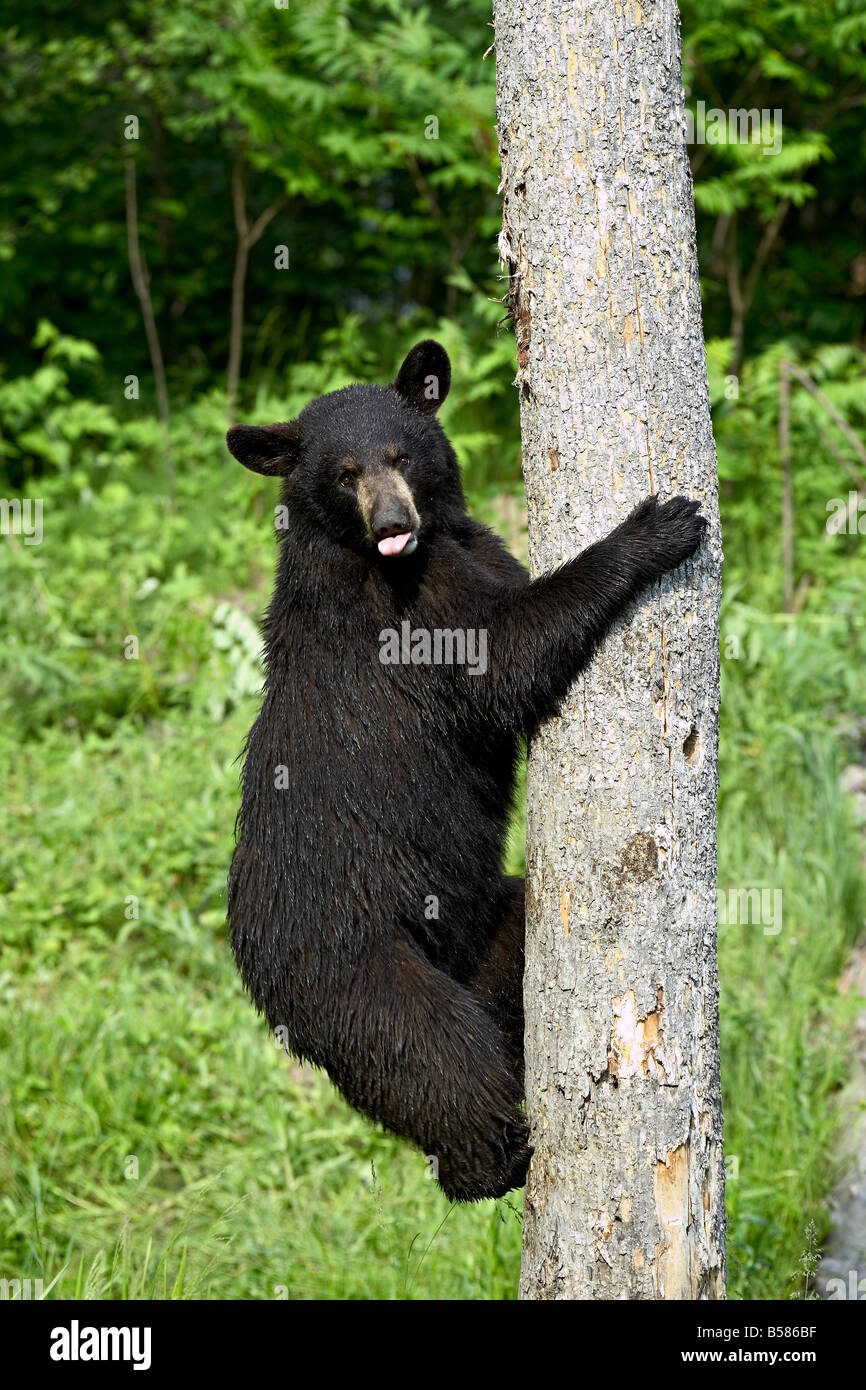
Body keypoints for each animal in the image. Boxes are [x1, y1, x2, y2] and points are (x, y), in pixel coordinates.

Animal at [225, 340, 707, 1203]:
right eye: (342, 472)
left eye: (399, 454)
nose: (393, 523)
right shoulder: (406, 615)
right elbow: (508, 652)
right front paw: (657, 527)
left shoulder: (467, 549)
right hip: (354, 962)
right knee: (432, 1054)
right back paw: (490, 1161)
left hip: (484, 923)